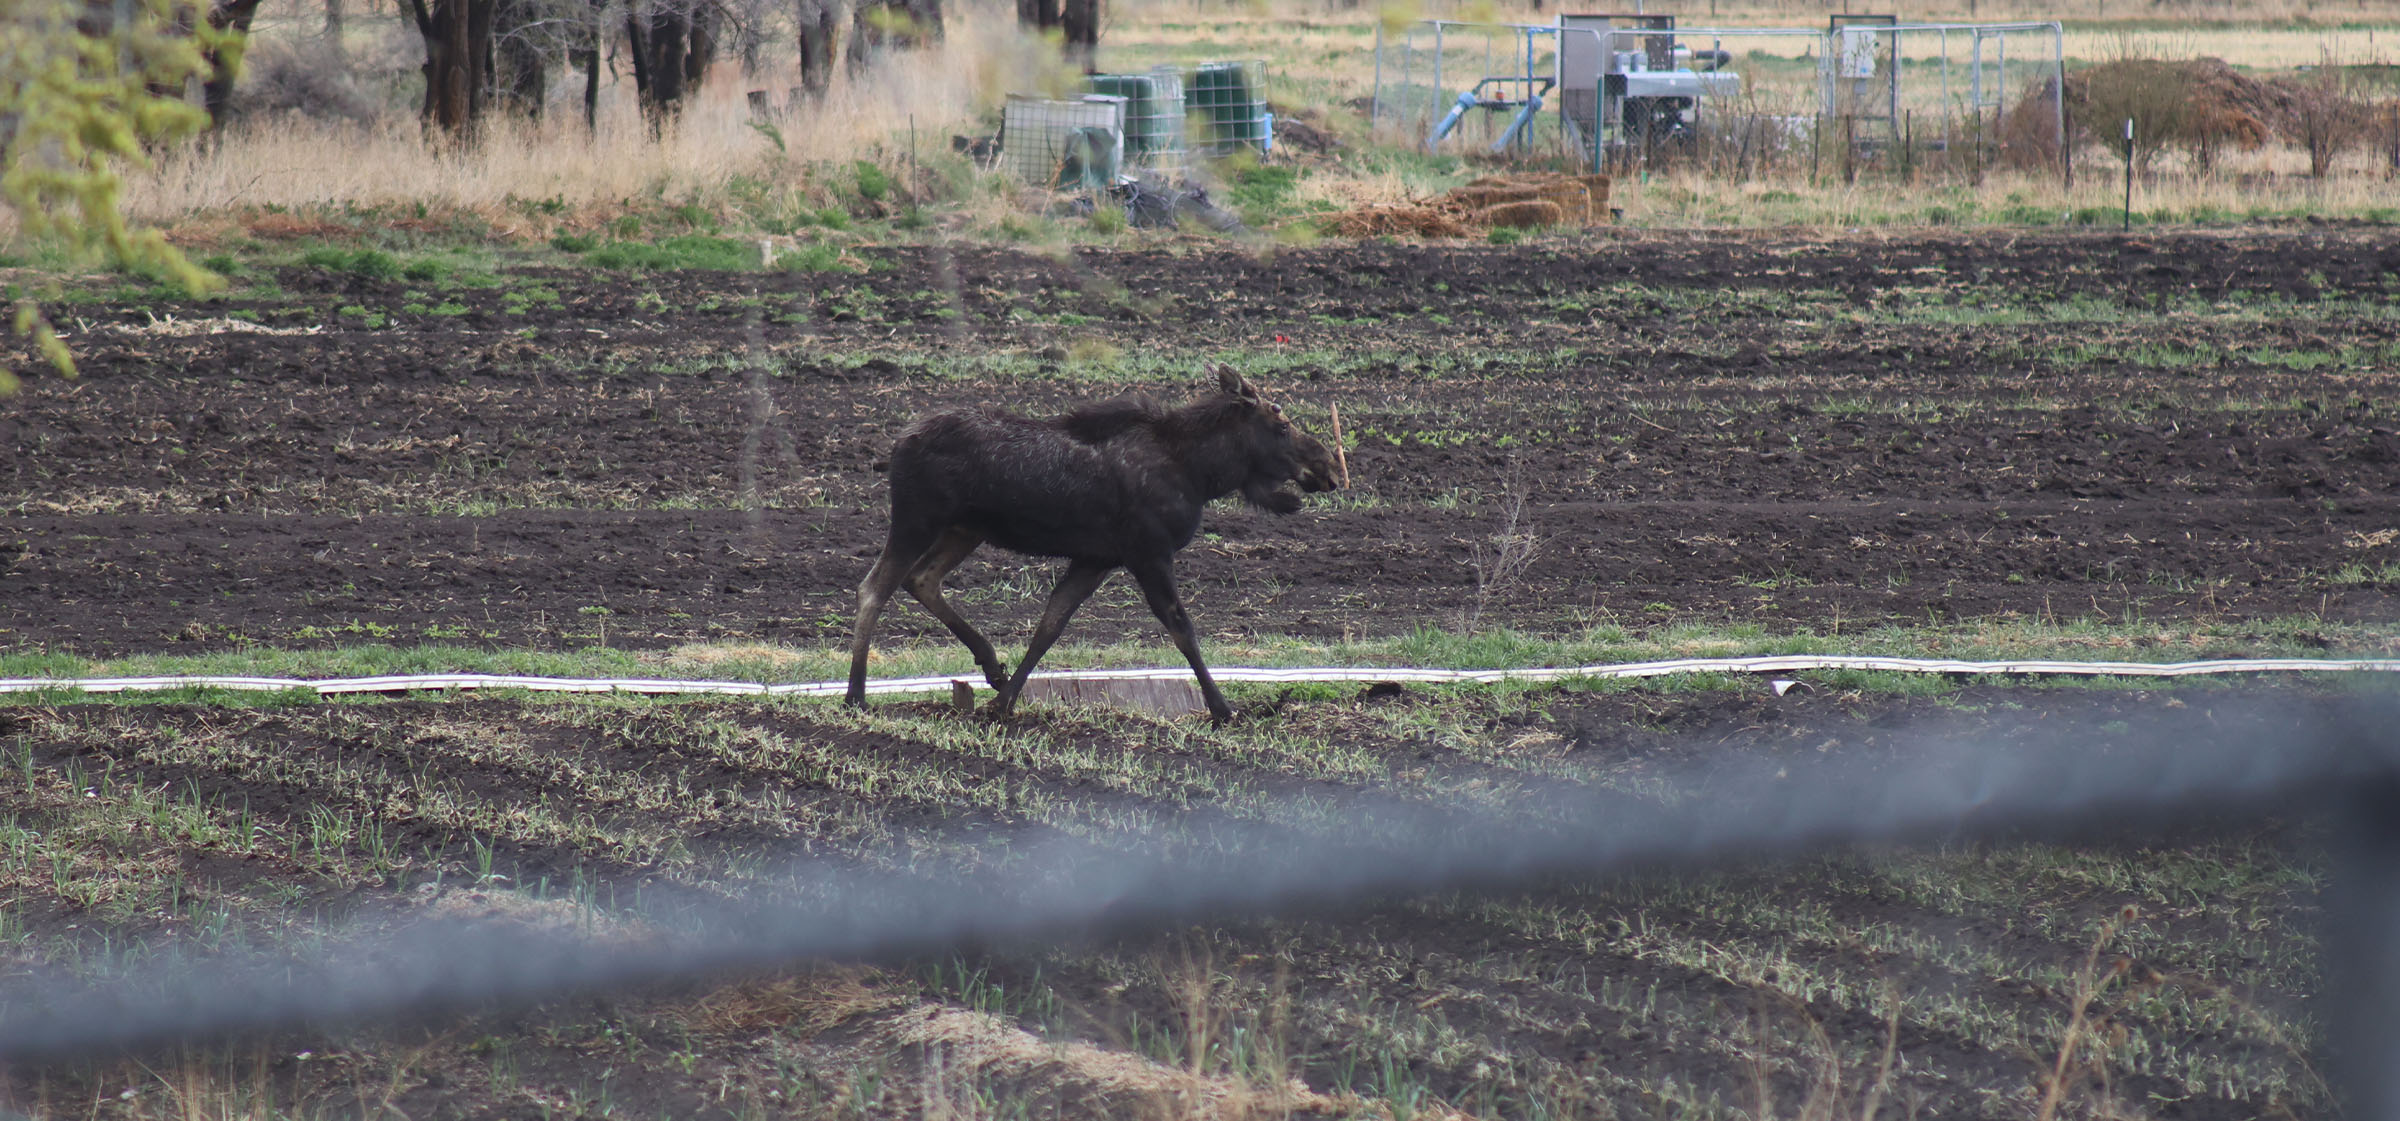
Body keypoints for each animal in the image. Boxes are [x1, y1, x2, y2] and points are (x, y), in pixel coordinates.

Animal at [845, 364, 1344, 725]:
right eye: (1281, 424)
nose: (1330, 469)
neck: (1202, 475)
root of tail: (898, 444)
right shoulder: (1148, 552)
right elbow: (1182, 628)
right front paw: (1224, 709)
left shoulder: (1096, 558)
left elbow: (1050, 626)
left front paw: (1003, 703)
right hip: (918, 520)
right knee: (873, 587)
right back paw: (856, 696)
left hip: (964, 530)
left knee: (922, 579)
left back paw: (989, 664)